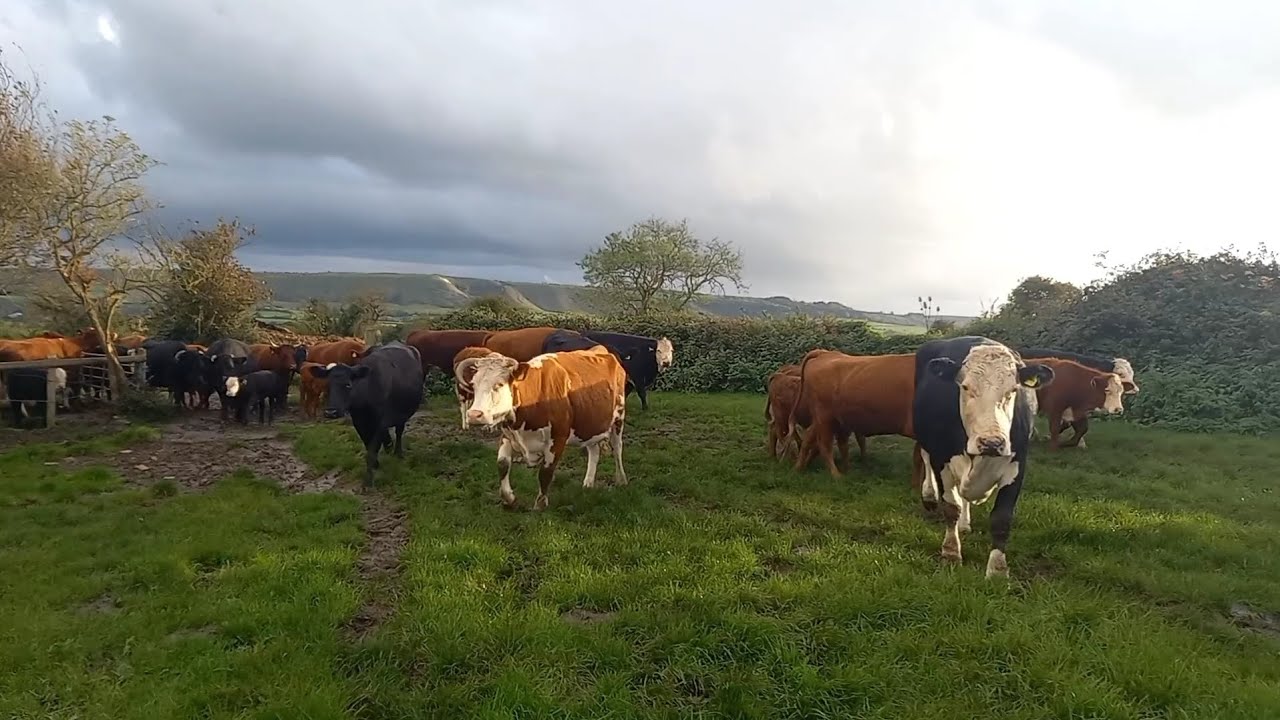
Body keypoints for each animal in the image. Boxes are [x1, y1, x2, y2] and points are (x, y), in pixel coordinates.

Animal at [309, 341, 425, 488]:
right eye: (328, 385)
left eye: (348, 385)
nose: (331, 412)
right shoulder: (359, 423)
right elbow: (368, 446)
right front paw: (376, 464)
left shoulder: (380, 422)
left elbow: (372, 449)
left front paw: (368, 481)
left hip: (402, 413)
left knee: (399, 431)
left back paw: (398, 453)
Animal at [455, 346, 628, 511]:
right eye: (474, 385)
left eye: (499, 384)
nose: (474, 415)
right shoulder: (508, 435)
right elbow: (502, 464)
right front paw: (509, 499)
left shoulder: (558, 438)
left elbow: (545, 472)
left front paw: (540, 504)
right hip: (590, 425)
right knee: (594, 450)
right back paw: (588, 483)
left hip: (618, 419)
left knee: (617, 449)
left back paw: (621, 480)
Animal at [788, 349, 917, 478]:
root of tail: (824, 352)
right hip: (824, 417)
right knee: (825, 445)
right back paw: (836, 475)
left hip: (827, 420)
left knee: (812, 439)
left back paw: (800, 468)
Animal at [912, 336, 1055, 579]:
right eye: (965, 387)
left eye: (1013, 390)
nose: (991, 442)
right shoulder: (941, 458)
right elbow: (951, 507)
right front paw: (951, 552)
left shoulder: (1017, 465)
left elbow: (1001, 518)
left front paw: (997, 570)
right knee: (925, 457)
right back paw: (930, 495)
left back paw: (965, 523)